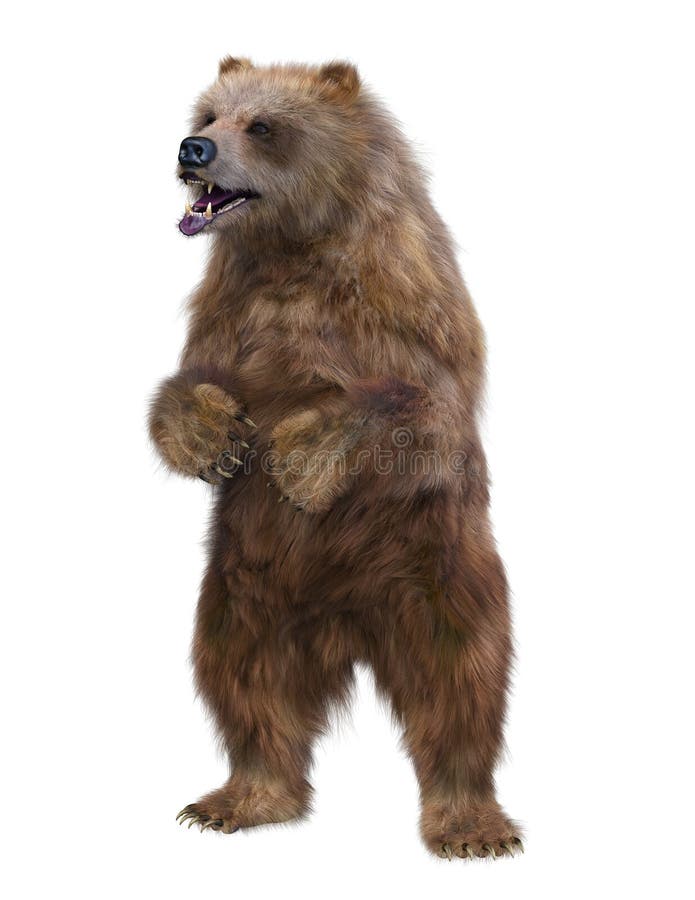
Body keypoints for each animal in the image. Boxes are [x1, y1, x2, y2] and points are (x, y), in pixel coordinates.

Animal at [149, 56, 523, 860]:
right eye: (207, 114)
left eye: (262, 124)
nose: (193, 149)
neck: (294, 250)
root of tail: (346, 625)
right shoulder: (229, 309)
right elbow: (192, 381)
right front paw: (214, 439)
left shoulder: (406, 300)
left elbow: (419, 407)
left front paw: (299, 460)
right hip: (245, 589)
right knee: (243, 680)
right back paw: (240, 796)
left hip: (437, 575)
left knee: (461, 685)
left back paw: (470, 822)